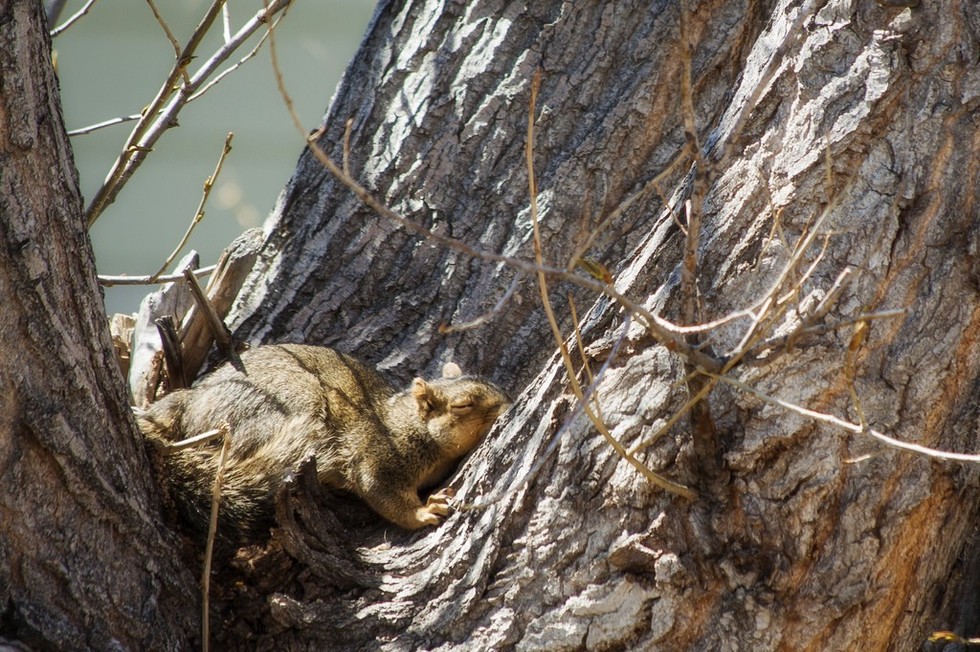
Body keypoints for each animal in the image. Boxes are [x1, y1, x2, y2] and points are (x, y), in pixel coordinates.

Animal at [136, 343, 509, 543]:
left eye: (492, 383)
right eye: (462, 405)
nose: (507, 405)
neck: (407, 424)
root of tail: (189, 404)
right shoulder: (377, 455)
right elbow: (383, 494)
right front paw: (424, 511)